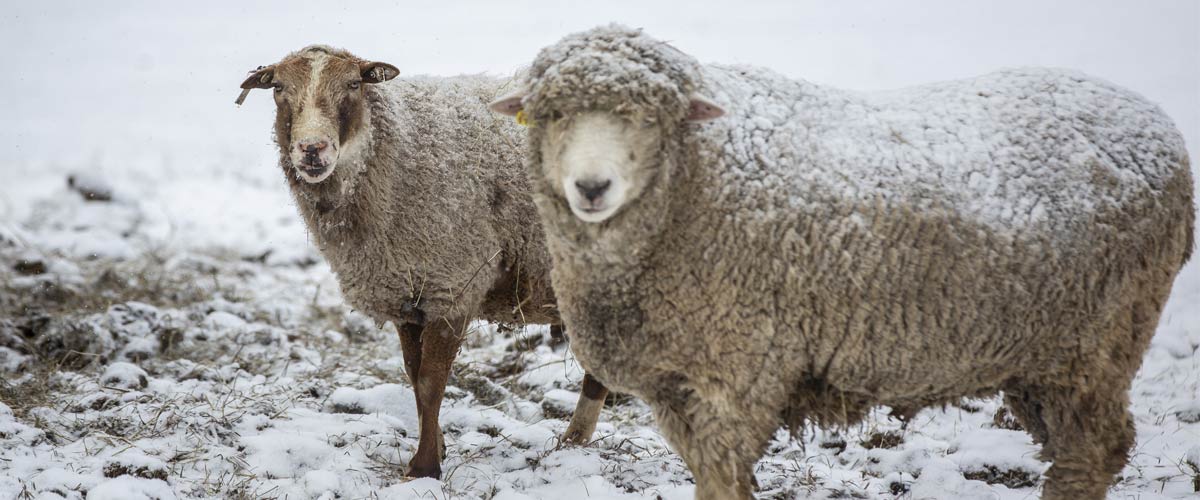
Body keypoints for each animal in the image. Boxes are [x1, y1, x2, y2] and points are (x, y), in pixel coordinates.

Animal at [236, 45, 609, 479]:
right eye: (278, 88)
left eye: (353, 84)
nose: (312, 149)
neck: (402, 148)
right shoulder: (405, 292)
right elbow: (413, 376)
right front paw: (437, 447)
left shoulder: (453, 284)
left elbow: (431, 381)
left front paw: (425, 467)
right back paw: (575, 440)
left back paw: (576, 438)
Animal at [491, 25, 1195, 499]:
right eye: (553, 115)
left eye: (646, 117)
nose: (591, 187)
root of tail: (1161, 127)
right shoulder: (678, 382)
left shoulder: (739, 369)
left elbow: (721, 478)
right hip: (1044, 356)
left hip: (1102, 340)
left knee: (1094, 451)